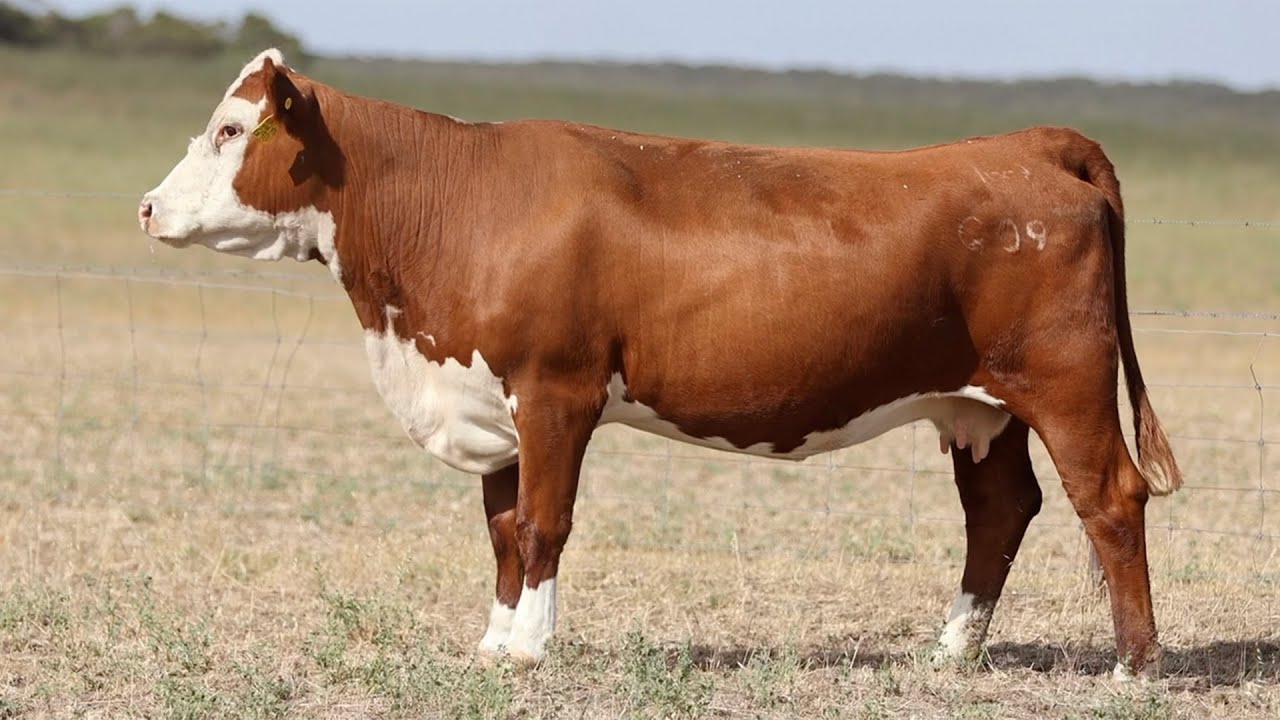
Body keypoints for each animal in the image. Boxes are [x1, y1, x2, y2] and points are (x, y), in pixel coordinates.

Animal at [138, 49, 1182, 677]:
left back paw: (1134, 667)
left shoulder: (555, 392)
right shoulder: (492, 401)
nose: (147, 206)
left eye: (230, 131)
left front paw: (530, 652)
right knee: (1001, 510)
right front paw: (495, 641)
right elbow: (502, 529)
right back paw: (952, 651)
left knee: (1109, 499)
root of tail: (1030, 145)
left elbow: (544, 526)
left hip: (1066, 386)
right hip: (978, 406)